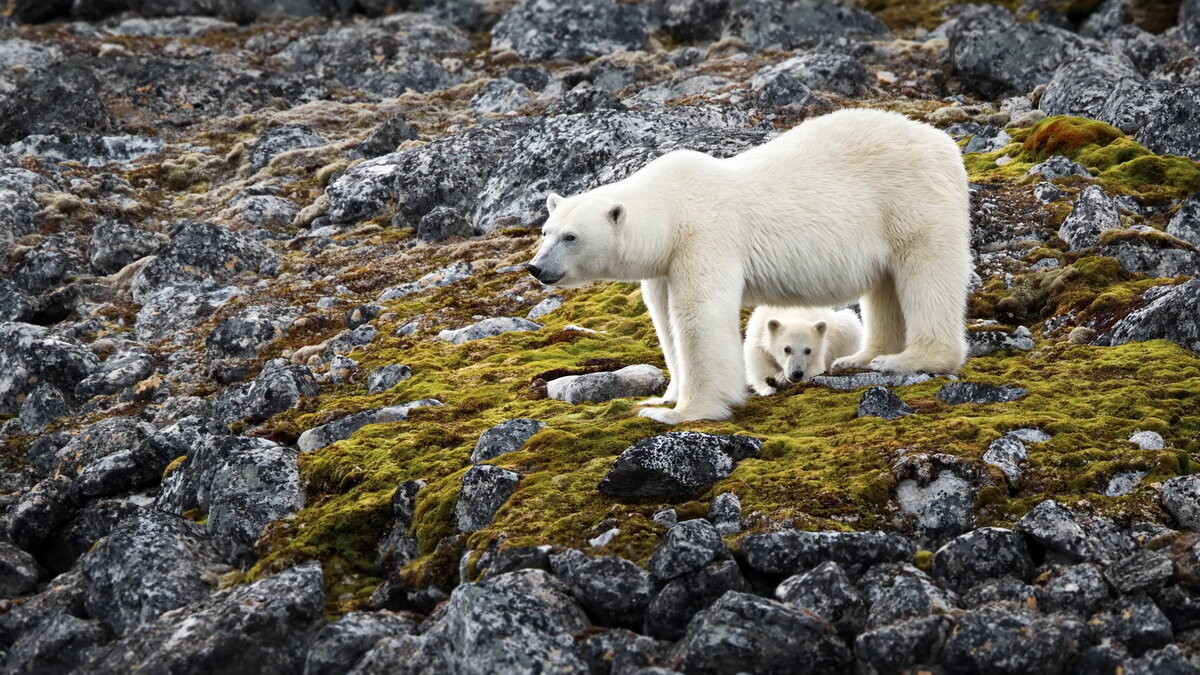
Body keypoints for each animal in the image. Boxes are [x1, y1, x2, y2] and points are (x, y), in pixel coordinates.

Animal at [528, 107, 974, 422]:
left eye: (571, 237)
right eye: (546, 231)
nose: (536, 268)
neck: (672, 208)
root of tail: (946, 144)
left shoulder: (704, 236)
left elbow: (698, 315)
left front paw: (680, 413)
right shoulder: (664, 263)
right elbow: (665, 320)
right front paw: (663, 396)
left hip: (911, 200)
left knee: (926, 273)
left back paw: (910, 359)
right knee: (884, 284)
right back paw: (863, 356)